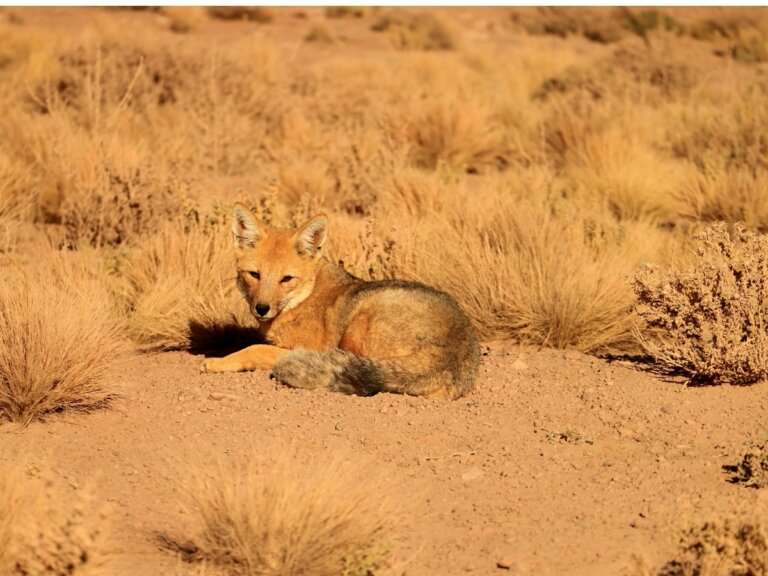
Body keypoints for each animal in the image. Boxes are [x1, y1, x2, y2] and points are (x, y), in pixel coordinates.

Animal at [201, 203, 480, 400]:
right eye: (254, 275)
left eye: (286, 279)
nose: (261, 308)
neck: (305, 297)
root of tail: (456, 347)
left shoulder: (304, 346)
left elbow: (254, 349)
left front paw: (218, 362)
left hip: (361, 320)